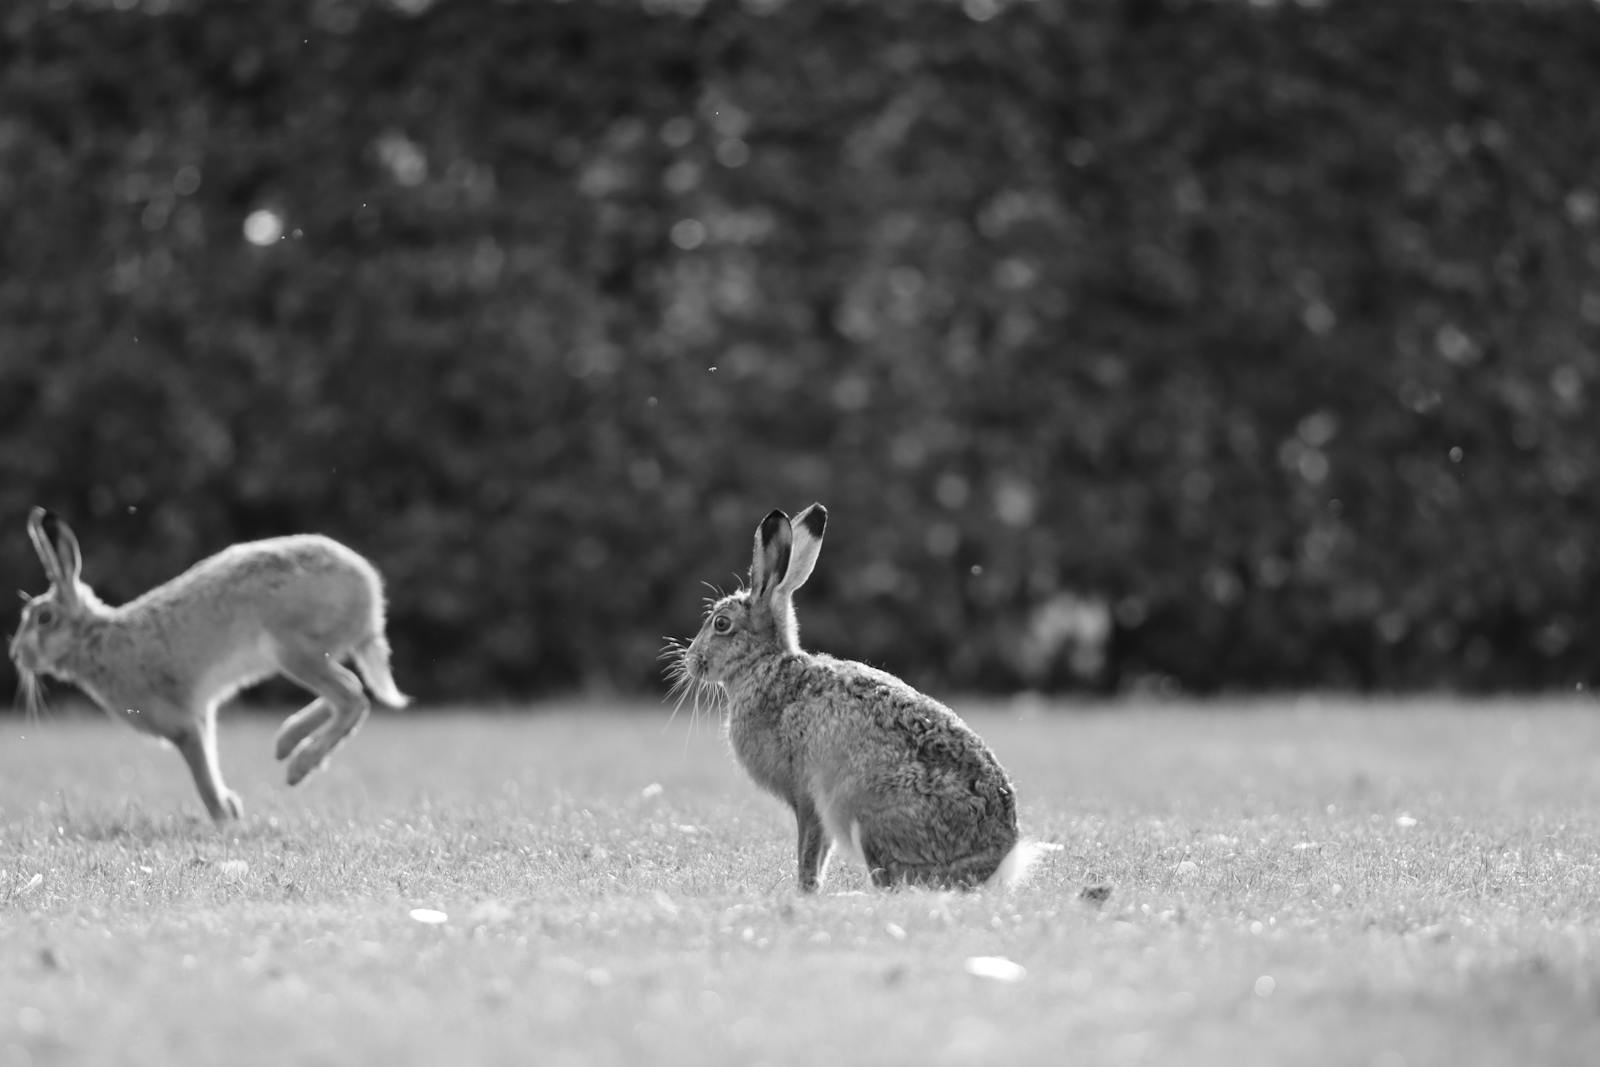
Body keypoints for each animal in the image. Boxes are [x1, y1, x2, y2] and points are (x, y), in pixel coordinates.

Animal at [8, 507, 409, 822]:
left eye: (44, 618)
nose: (15, 654)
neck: (96, 640)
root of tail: (370, 594)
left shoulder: (182, 724)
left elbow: (202, 772)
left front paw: (225, 816)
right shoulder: (201, 715)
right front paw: (231, 809)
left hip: (293, 649)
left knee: (351, 695)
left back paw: (299, 764)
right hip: (305, 655)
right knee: (347, 691)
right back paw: (286, 743)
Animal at [668, 504, 1047, 892]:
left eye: (721, 624)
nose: (690, 661)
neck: (765, 664)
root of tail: (994, 864)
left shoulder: (808, 795)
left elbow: (809, 850)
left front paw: (804, 891)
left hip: (866, 812)